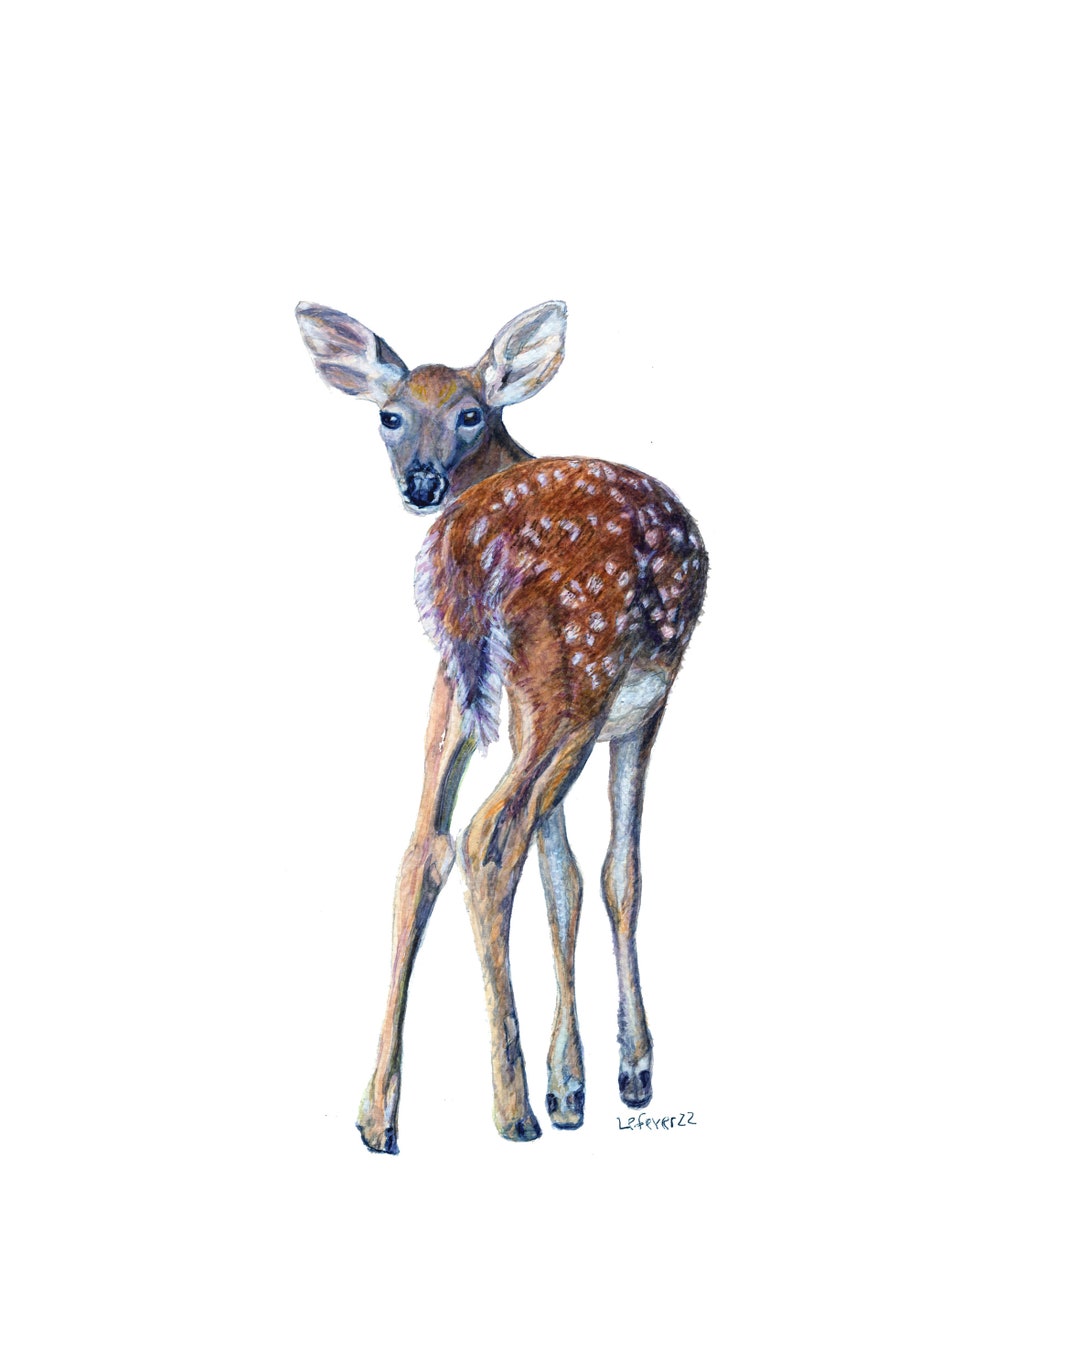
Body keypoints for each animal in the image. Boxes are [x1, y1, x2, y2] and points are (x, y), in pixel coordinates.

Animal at [296, 300, 708, 1153]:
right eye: (388, 415)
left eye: (470, 413)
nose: (421, 481)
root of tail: (466, 545)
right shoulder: (645, 710)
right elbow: (618, 874)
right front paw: (626, 1073)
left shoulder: (515, 711)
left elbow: (564, 880)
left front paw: (572, 1085)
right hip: (579, 682)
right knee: (489, 837)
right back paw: (512, 1110)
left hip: (461, 684)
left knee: (426, 845)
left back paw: (378, 1117)